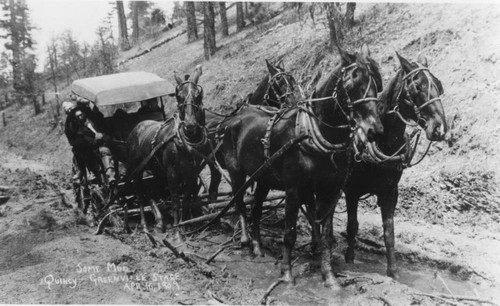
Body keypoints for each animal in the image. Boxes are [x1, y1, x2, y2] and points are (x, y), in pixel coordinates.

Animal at [126, 66, 212, 234]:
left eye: (198, 95)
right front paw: (178, 227)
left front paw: (186, 221)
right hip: (137, 170)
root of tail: (138, 126)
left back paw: (160, 221)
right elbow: (175, 200)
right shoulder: (172, 173)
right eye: (179, 96)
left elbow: (185, 199)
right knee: (140, 195)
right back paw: (145, 225)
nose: (190, 125)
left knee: (152, 192)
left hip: (157, 171)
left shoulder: (192, 173)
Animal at [223, 44, 382, 288]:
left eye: (377, 84)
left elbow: (327, 235)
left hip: (263, 178)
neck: (312, 132)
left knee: (257, 209)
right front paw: (287, 273)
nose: (375, 130)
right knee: (240, 205)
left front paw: (329, 276)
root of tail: (237, 116)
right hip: (236, 173)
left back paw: (258, 246)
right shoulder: (294, 189)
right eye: (353, 83)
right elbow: (289, 233)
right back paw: (245, 243)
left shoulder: (329, 190)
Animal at [342, 53, 448, 280]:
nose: (440, 128)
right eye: (416, 86)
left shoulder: (390, 192)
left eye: (438, 85)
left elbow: (389, 233)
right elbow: (352, 226)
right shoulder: (351, 191)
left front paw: (393, 271)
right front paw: (349, 257)